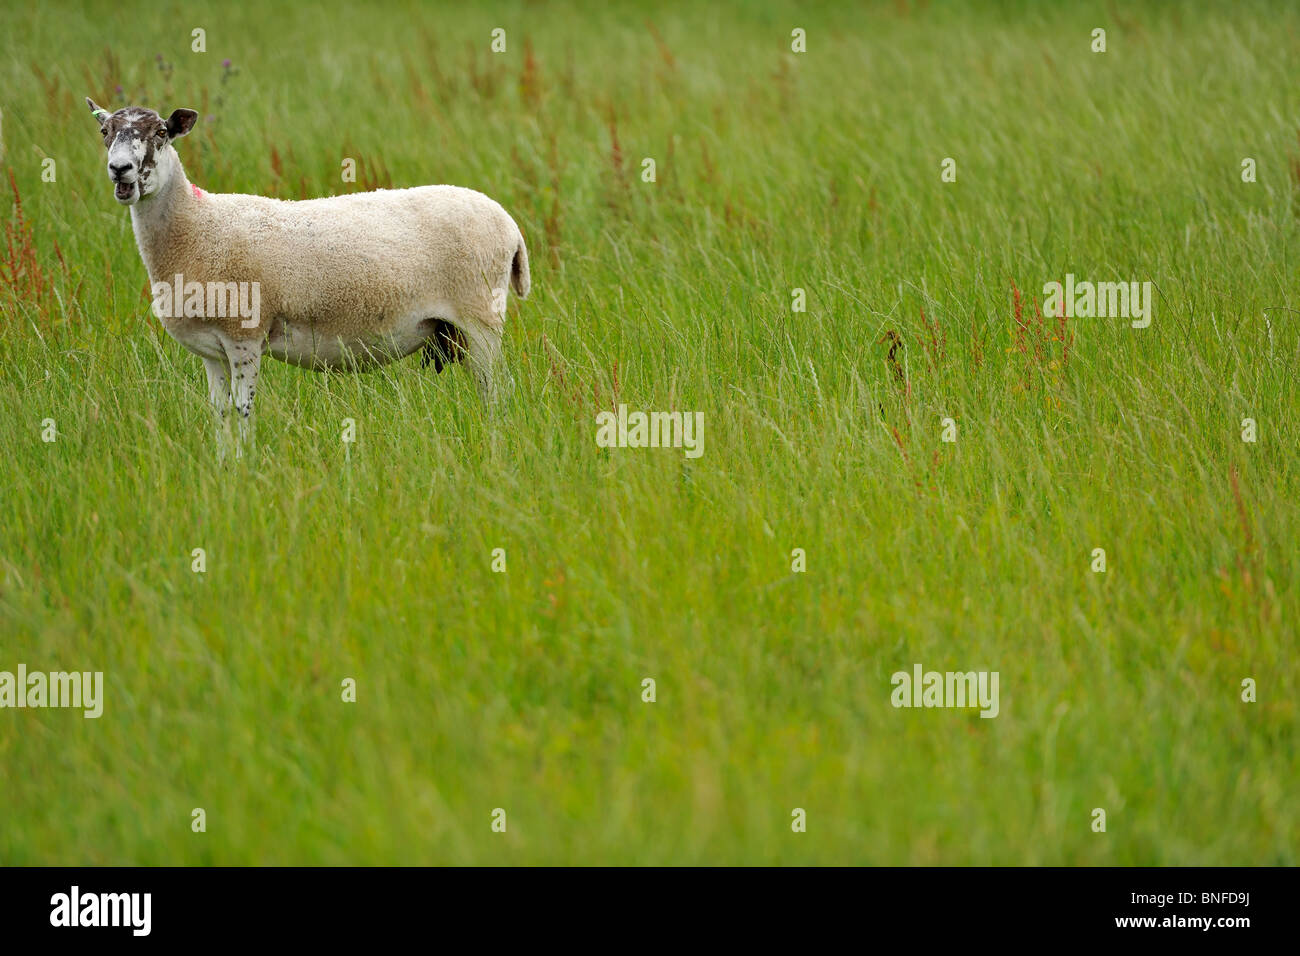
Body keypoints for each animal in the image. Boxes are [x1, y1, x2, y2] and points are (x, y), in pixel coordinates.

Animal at [85, 98, 530, 447]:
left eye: (161, 132)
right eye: (105, 131)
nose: (120, 170)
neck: (197, 226)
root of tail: (509, 224)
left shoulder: (245, 336)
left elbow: (243, 412)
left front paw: (245, 471)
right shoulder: (211, 350)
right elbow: (220, 415)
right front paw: (224, 468)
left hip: (481, 317)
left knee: (498, 391)